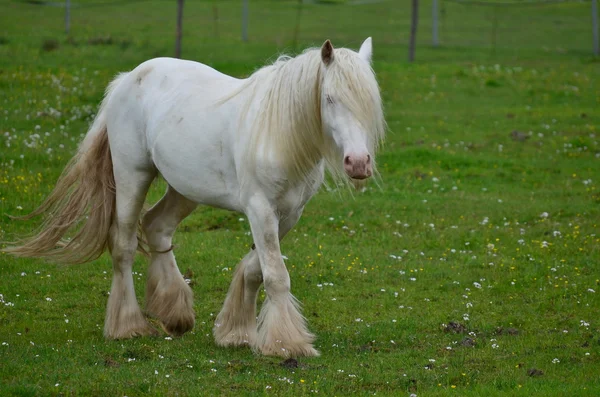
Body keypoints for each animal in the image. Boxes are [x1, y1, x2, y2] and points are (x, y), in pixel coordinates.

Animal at [5, 38, 384, 358]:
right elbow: (276, 274)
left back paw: (174, 312)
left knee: (156, 227)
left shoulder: (289, 213)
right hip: (132, 175)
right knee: (124, 245)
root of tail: (128, 79)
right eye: (330, 98)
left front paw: (236, 332)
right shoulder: (260, 207)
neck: (277, 134)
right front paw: (285, 343)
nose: (358, 163)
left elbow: (255, 270)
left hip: (184, 189)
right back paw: (128, 326)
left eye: (371, 104)